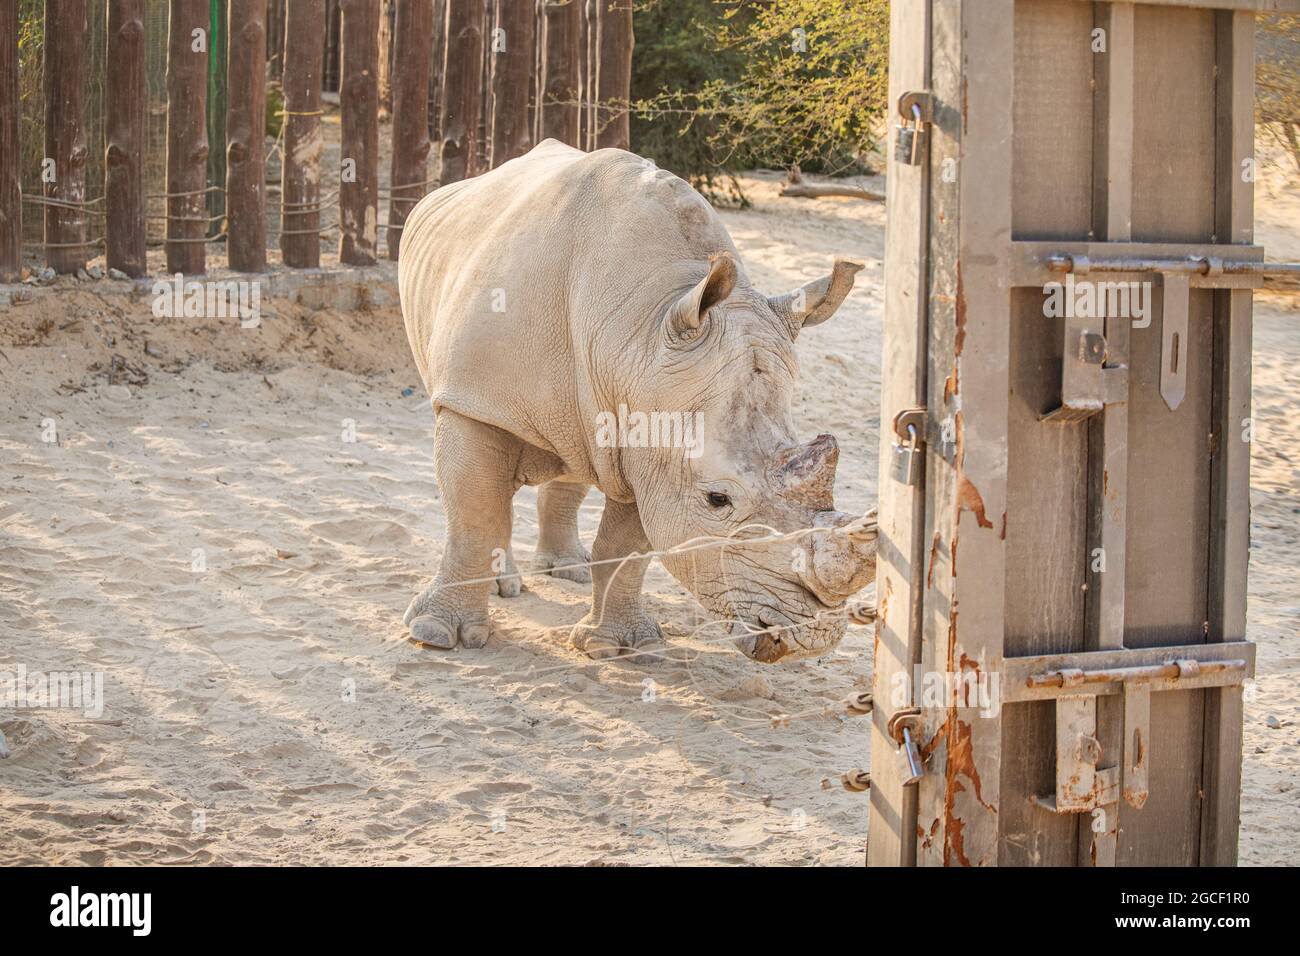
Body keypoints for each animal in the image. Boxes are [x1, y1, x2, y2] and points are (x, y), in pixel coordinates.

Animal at [398, 140, 876, 663]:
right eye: (717, 500)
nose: (806, 642)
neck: (642, 327)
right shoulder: (475, 401)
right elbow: (474, 516)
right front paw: (437, 634)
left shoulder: (651, 432)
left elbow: (626, 547)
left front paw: (619, 646)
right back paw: (508, 587)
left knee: (573, 453)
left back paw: (568, 570)